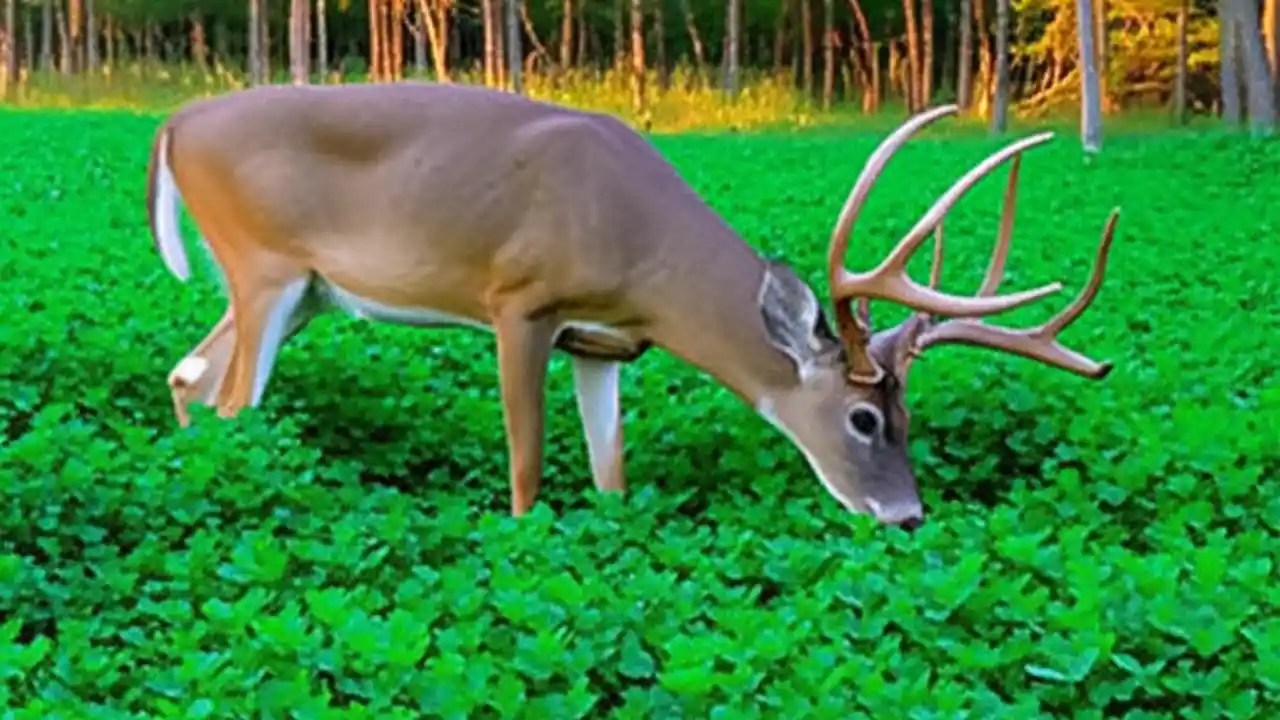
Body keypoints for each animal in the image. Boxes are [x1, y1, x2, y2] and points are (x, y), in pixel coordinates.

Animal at [145, 83, 1120, 530]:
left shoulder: (603, 342)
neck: (642, 253)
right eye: (864, 419)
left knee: (188, 375)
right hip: (263, 266)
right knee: (231, 399)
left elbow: (611, 474)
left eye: (911, 416)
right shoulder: (518, 301)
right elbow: (528, 470)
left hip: (302, 291)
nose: (907, 516)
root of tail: (172, 124)